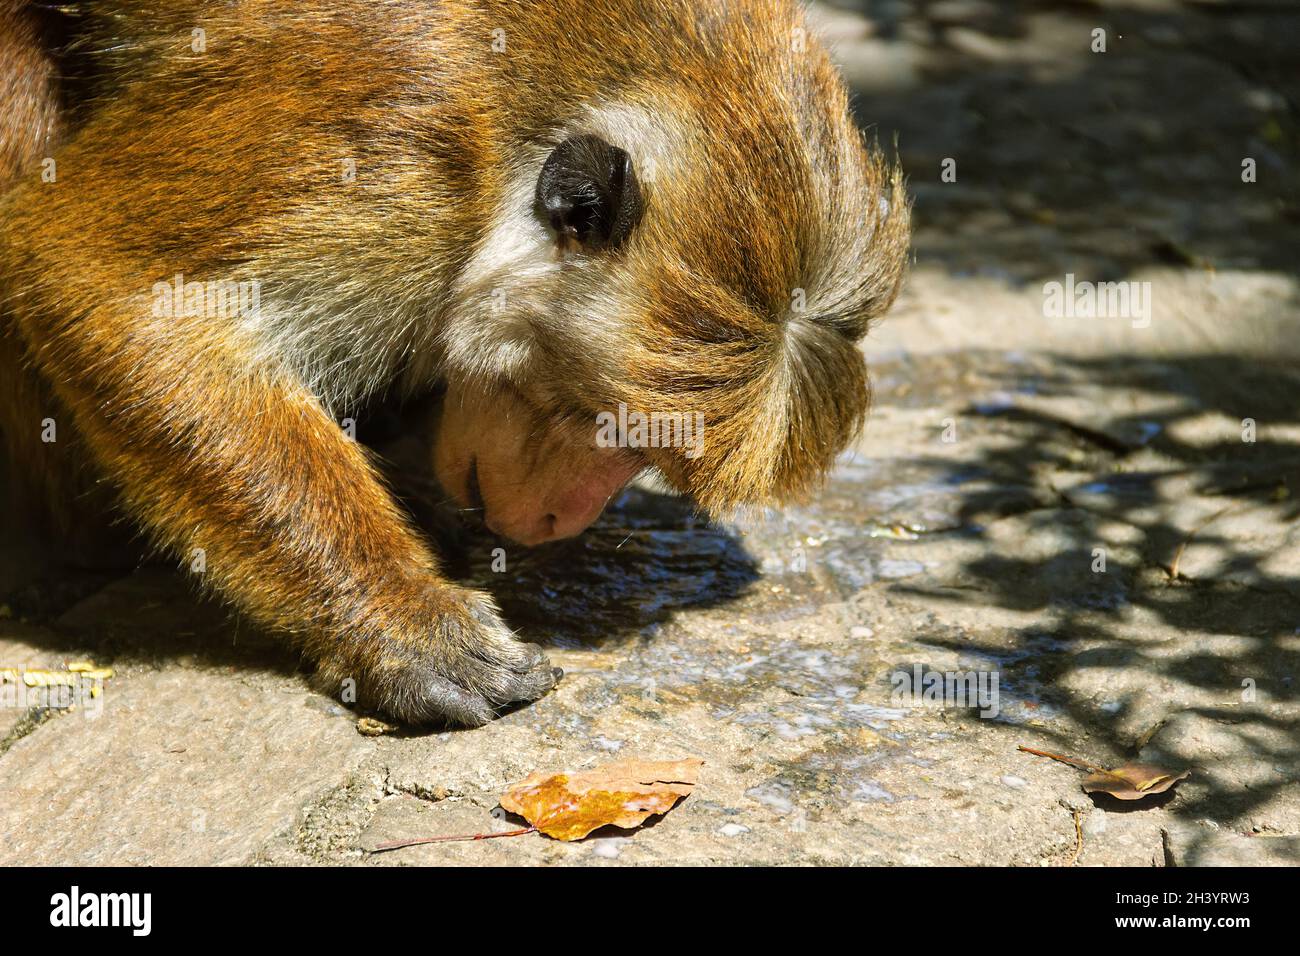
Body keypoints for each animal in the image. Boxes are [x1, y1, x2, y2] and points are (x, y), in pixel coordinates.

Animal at [0, 0, 910, 726]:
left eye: (636, 453)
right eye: (594, 420)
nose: (560, 521)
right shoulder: (392, 133)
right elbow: (98, 276)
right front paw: (402, 621)